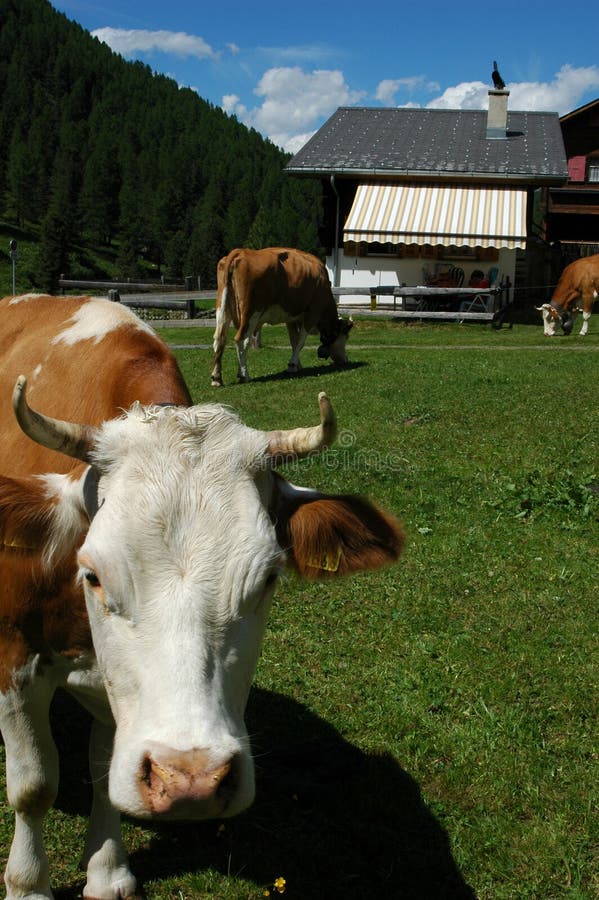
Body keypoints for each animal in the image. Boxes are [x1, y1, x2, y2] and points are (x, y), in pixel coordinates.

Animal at [0, 293, 403, 900]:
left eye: (268, 579)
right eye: (92, 575)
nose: (191, 779)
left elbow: (103, 767)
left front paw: (108, 870)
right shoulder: (13, 659)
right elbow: (33, 786)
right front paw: (27, 885)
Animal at [211, 247, 353, 386]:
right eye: (345, 338)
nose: (346, 360)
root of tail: (240, 252)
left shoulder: (291, 318)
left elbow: (294, 341)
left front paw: (297, 365)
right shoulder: (312, 313)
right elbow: (301, 341)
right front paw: (292, 364)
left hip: (222, 310)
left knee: (219, 339)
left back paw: (216, 377)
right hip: (251, 313)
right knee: (242, 340)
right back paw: (244, 375)